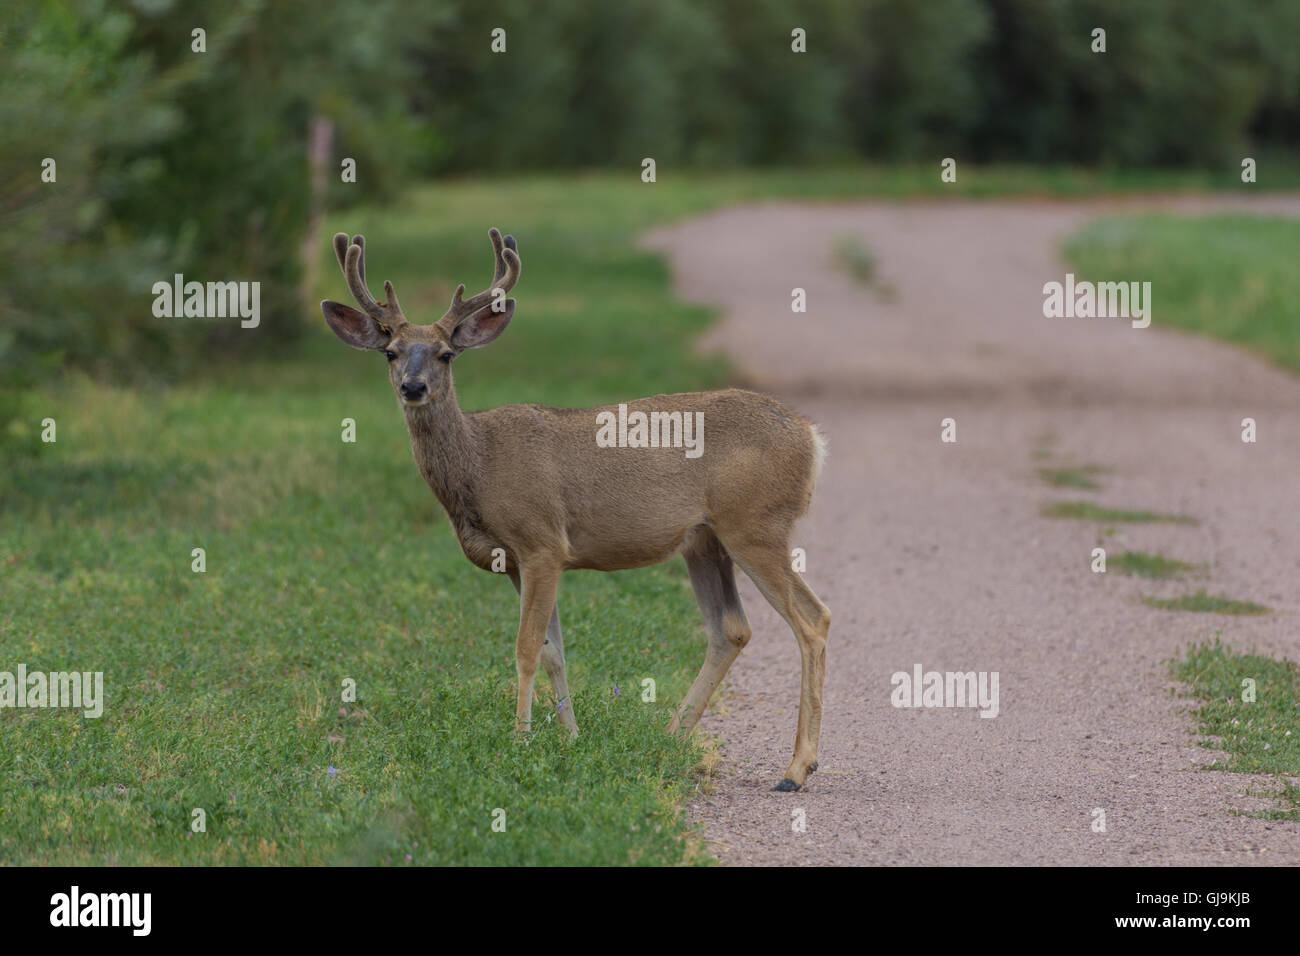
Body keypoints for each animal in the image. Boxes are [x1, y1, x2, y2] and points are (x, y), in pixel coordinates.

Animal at [321, 228, 831, 791]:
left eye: (446, 353)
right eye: (390, 352)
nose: (413, 387)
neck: (479, 466)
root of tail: (810, 437)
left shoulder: (541, 542)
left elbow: (525, 647)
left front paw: (519, 743)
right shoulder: (516, 561)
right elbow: (553, 652)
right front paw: (571, 739)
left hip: (756, 524)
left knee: (813, 619)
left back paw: (797, 767)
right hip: (705, 540)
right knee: (731, 630)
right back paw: (668, 739)